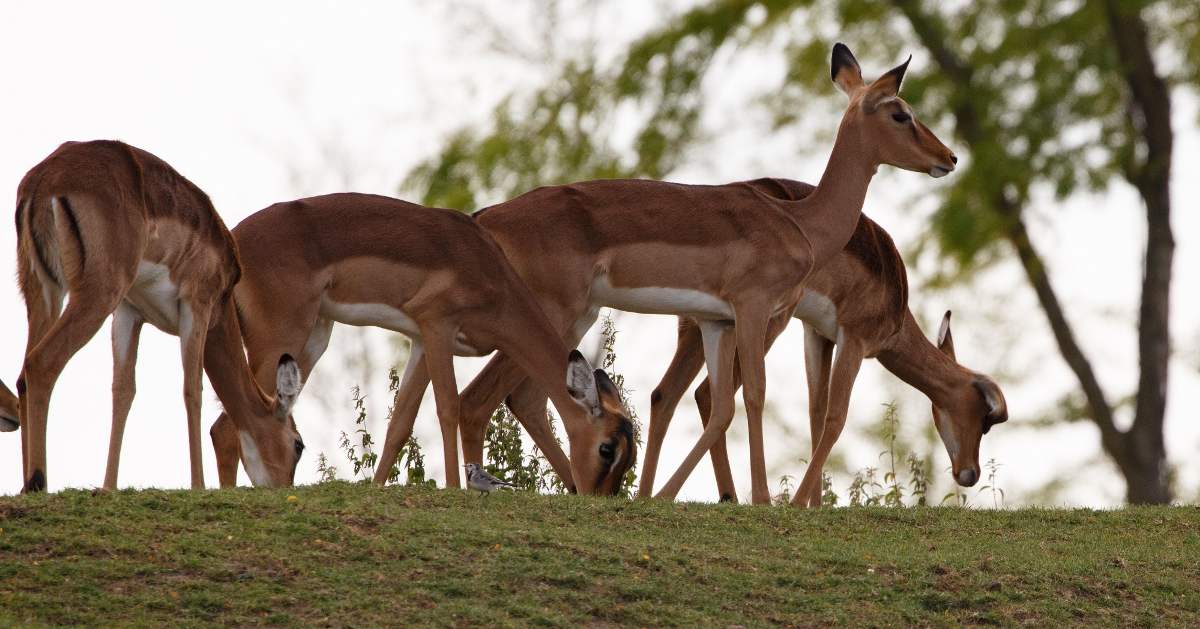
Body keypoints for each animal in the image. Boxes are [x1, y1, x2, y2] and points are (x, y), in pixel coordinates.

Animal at [14, 140, 302, 492]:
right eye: (299, 445)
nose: (283, 487)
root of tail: (46, 176)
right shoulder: (197, 307)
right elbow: (192, 389)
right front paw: (198, 485)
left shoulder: (129, 312)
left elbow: (123, 390)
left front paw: (108, 487)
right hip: (96, 295)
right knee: (41, 363)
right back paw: (37, 481)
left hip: (45, 292)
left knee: (23, 376)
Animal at [205, 193, 636, 494]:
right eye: (607, 449)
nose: (596, 497)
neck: (488, 270)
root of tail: (235, 240)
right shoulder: (438, 327)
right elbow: (448, 407)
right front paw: (454, 488)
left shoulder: (420, 341)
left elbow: (400, 423)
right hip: (280, 338)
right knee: (226, 427)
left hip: (312, 341)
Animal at [429, 43, 957, 504]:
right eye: (900, 112)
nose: (948, 158)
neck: (800, 223)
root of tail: (486, 218)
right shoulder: (754, 310)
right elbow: (755, 395)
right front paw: (760, 499)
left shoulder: (716, 322)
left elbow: (720, 406)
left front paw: (665, 496)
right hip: (547, 315)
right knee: (480, 399)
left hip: (568, 321)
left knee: (522, 399)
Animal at [637, 178, 1008, 506]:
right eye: (986, 416)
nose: (969, 473)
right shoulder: (853, 339)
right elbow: (835, 417)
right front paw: (797, 502)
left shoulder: (817, 335)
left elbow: (815, 411)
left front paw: (813, 505)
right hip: (760, 326)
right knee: (706, 393)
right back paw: (727, 496)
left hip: (699, 332)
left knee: (665, 394)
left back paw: (655, 495)